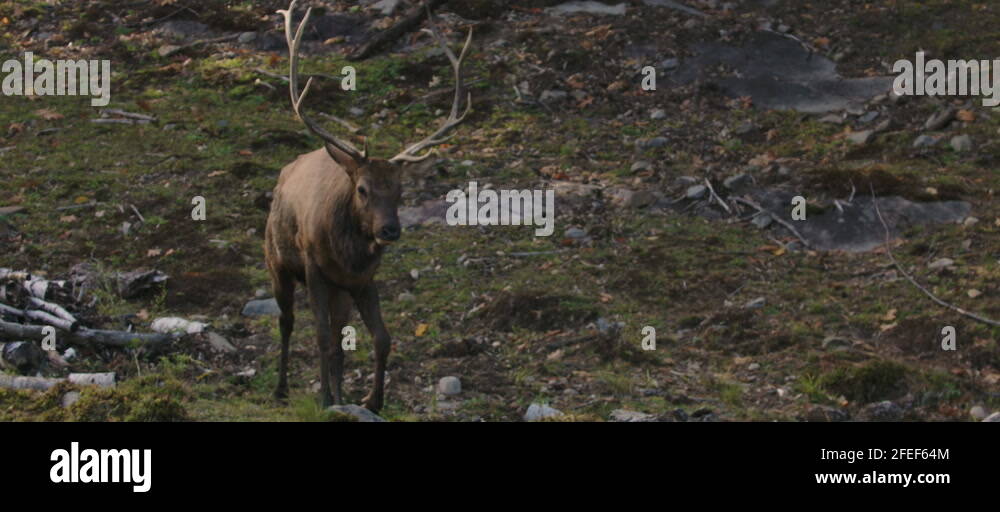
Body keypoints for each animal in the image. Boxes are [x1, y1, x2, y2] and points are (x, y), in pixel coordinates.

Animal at [265, 0, 472, 412]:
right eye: (361, 189)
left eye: (400, 190)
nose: (390, 229)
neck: (348, 252)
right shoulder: (314, 268)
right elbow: (321, 336)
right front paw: (324, 400)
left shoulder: (361, 280)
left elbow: (380, 337)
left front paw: (370, 399)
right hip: (276, 261)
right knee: (287, 322)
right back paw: (282, 389)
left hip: (340, 291)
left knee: (339, 340)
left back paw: (340, 392)